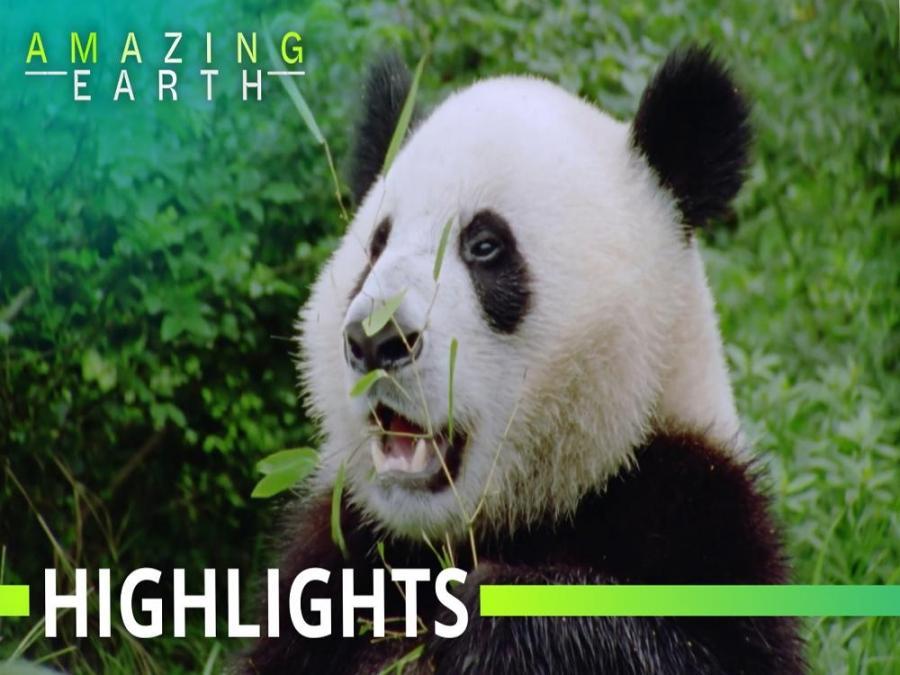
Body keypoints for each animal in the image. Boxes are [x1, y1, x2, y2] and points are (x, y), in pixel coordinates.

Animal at [240, 45, 805, 674]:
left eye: (485, 246)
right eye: (376, 246)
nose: (375, 337)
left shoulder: (701, 517)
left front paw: (488, 611)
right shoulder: (337, 556)